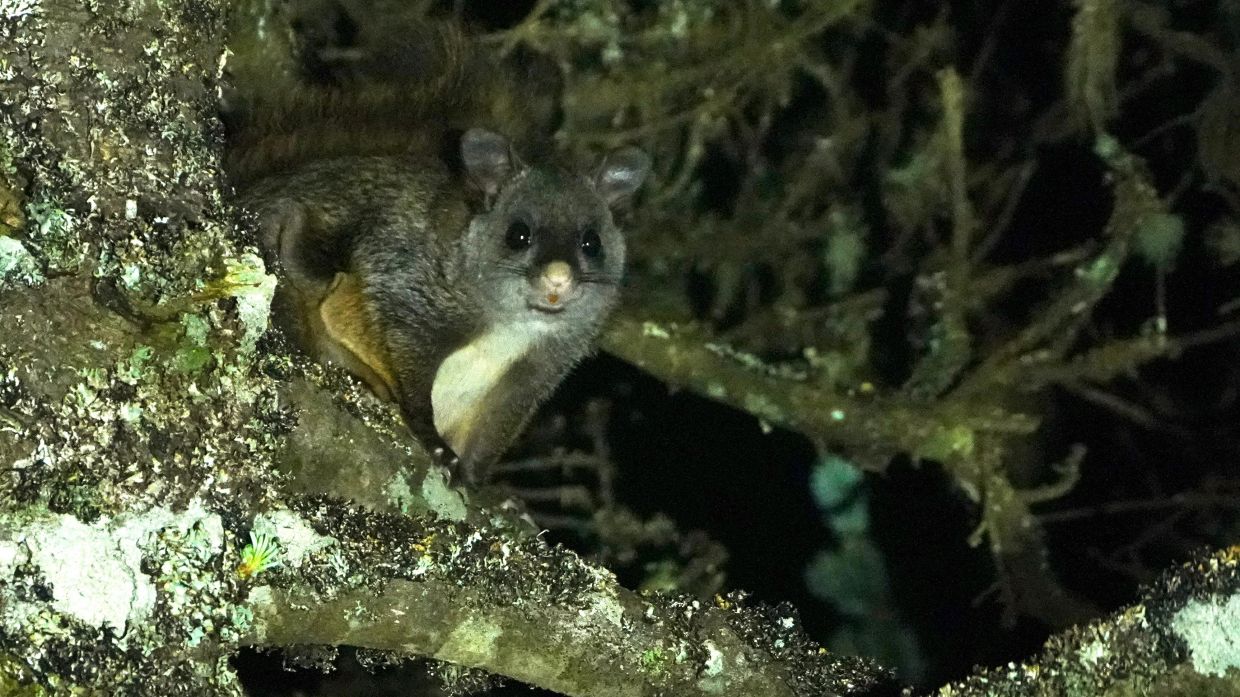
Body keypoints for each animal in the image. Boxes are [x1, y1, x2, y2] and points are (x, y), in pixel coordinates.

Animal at [225, 1, 650, 482]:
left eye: (592, 242)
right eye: (517, 234)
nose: (559, 277)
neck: (512, 324)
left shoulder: (537, 371)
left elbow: (491, 435)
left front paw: (476, 479)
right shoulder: (408, 286)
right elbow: (411, 370)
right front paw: (432, 439)